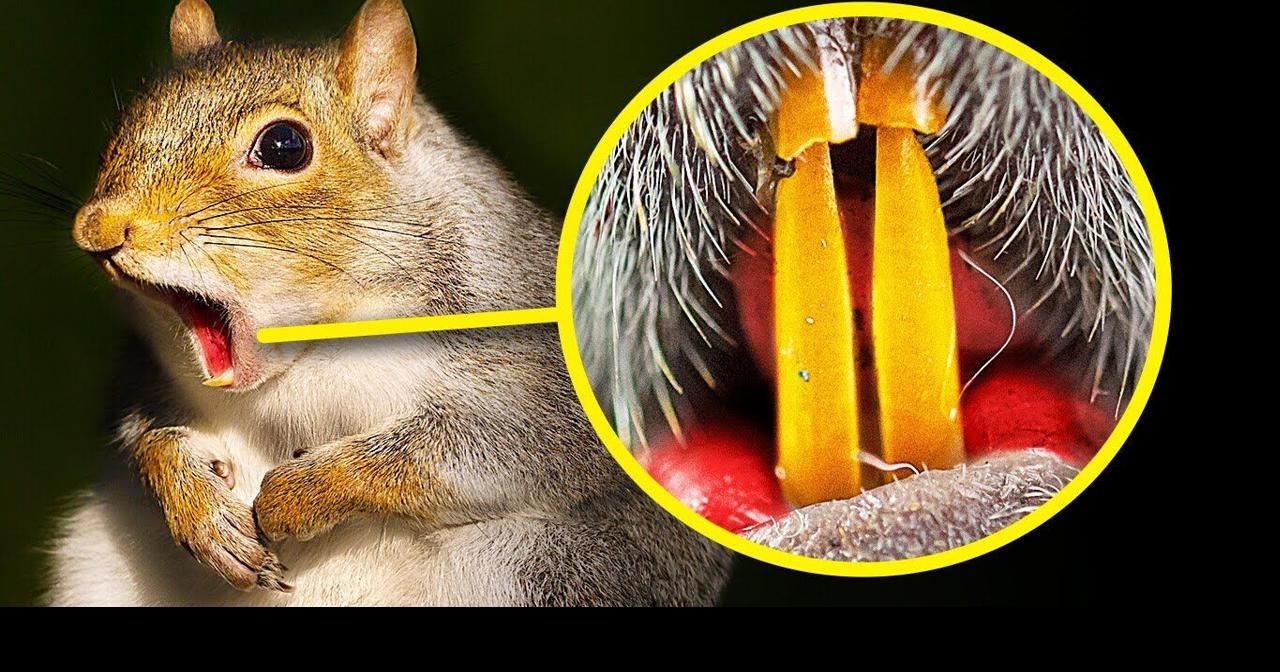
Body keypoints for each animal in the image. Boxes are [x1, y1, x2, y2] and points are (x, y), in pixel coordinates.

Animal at [47, 0, 730, 606]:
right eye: (127, 122)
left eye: (284, 146)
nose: (96, 229)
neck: (307, 359)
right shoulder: (145, 373)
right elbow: (147, 434)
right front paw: (196, 505)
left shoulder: (549, 384)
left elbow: (478, 452)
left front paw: (302, 493)